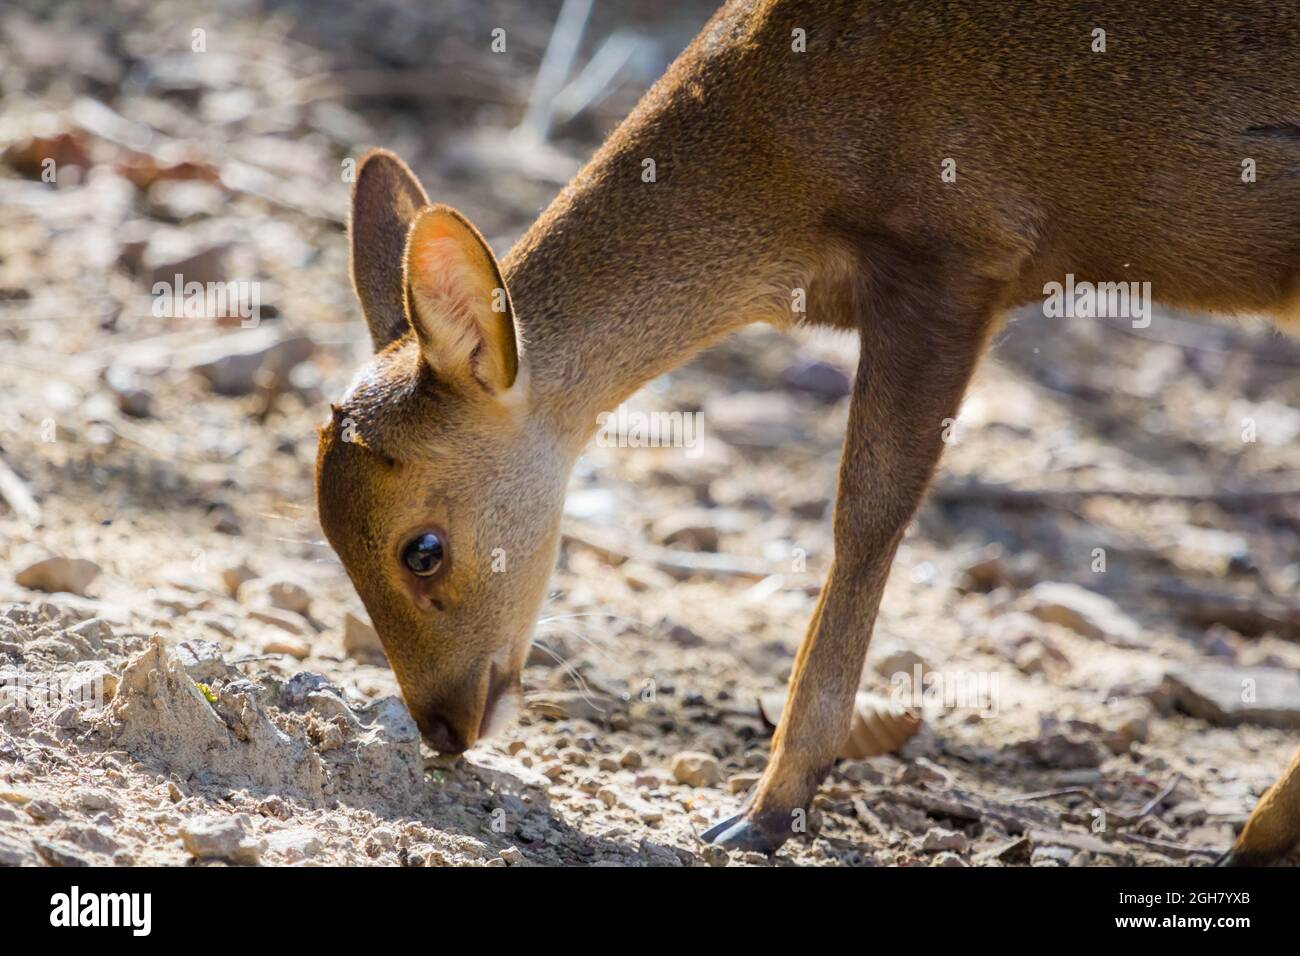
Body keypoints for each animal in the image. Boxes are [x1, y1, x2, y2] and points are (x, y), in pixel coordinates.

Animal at [315, 0, 1300, 864]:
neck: (785, 175)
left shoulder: (956, 247)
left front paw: (765, 810)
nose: (444, 726)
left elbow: (865, 514)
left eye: (422, 550)